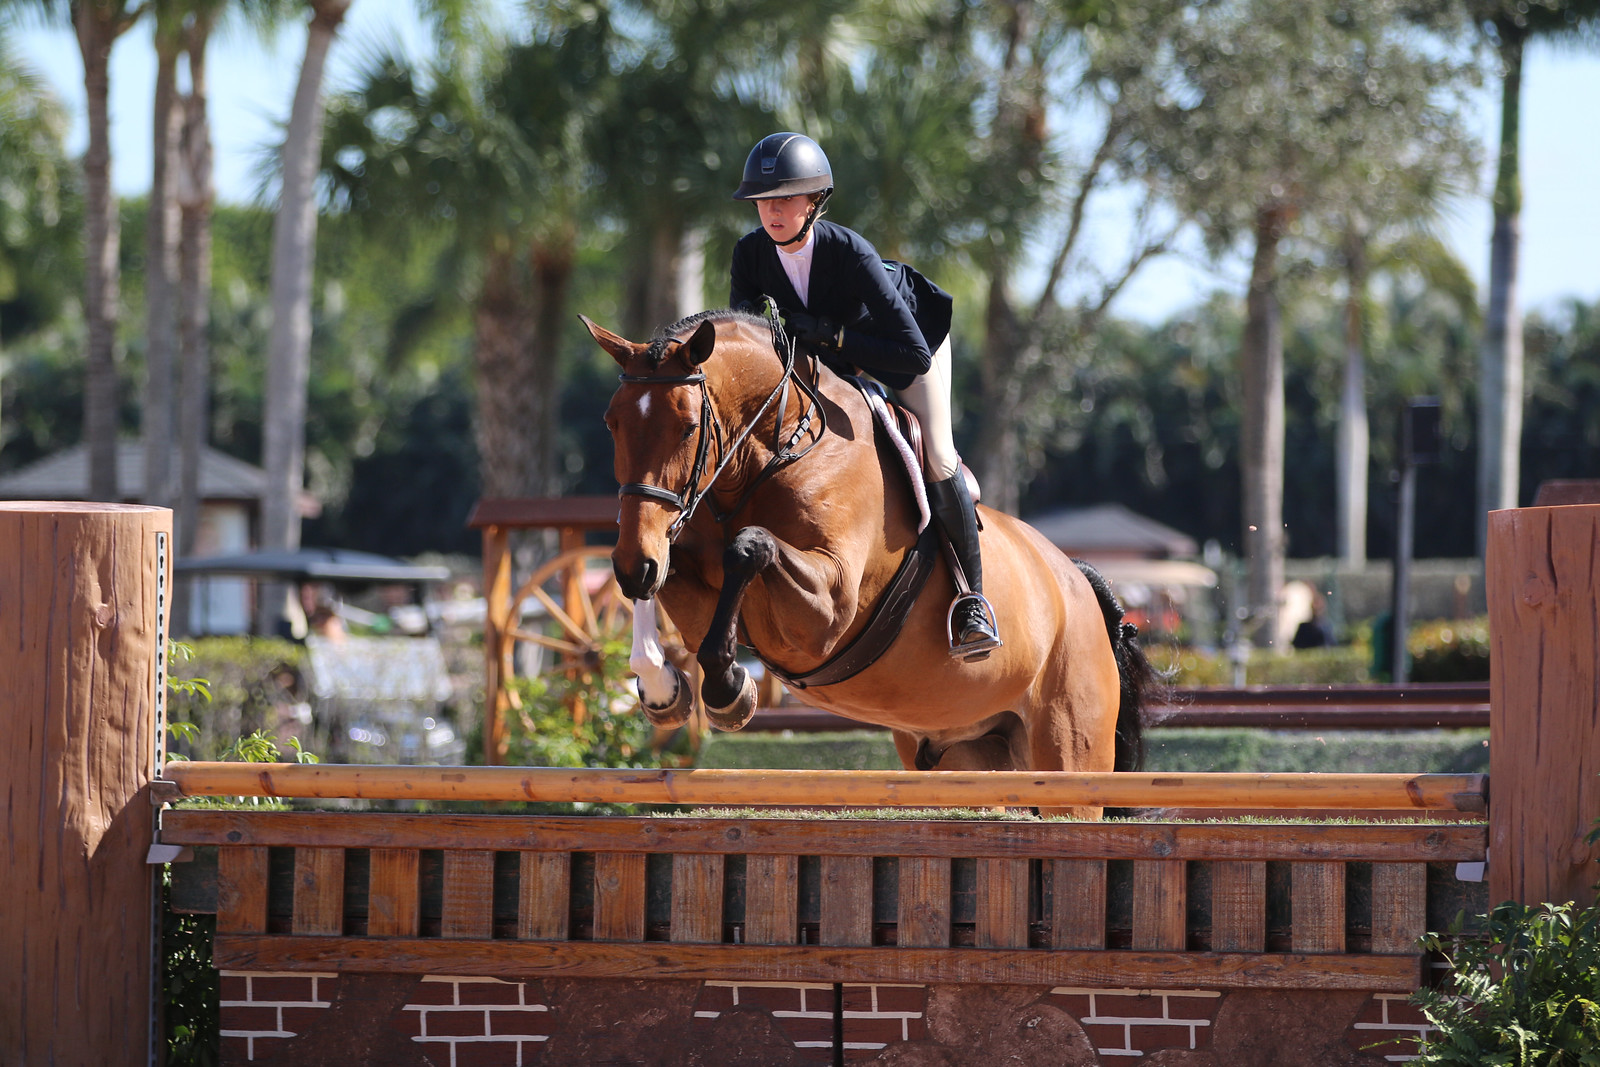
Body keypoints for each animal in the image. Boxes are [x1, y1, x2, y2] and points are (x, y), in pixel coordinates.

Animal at [586, 308, 1151, 815]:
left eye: (686, 428)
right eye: (611, 424)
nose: (632, 563)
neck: (781, 448)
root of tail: (1079, 583)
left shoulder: (827, 609)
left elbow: (750, 546)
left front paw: (727, 690)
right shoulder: (685, 573)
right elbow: (669, 574)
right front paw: (661, 688)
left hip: (1068, 756)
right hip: (977, 759)